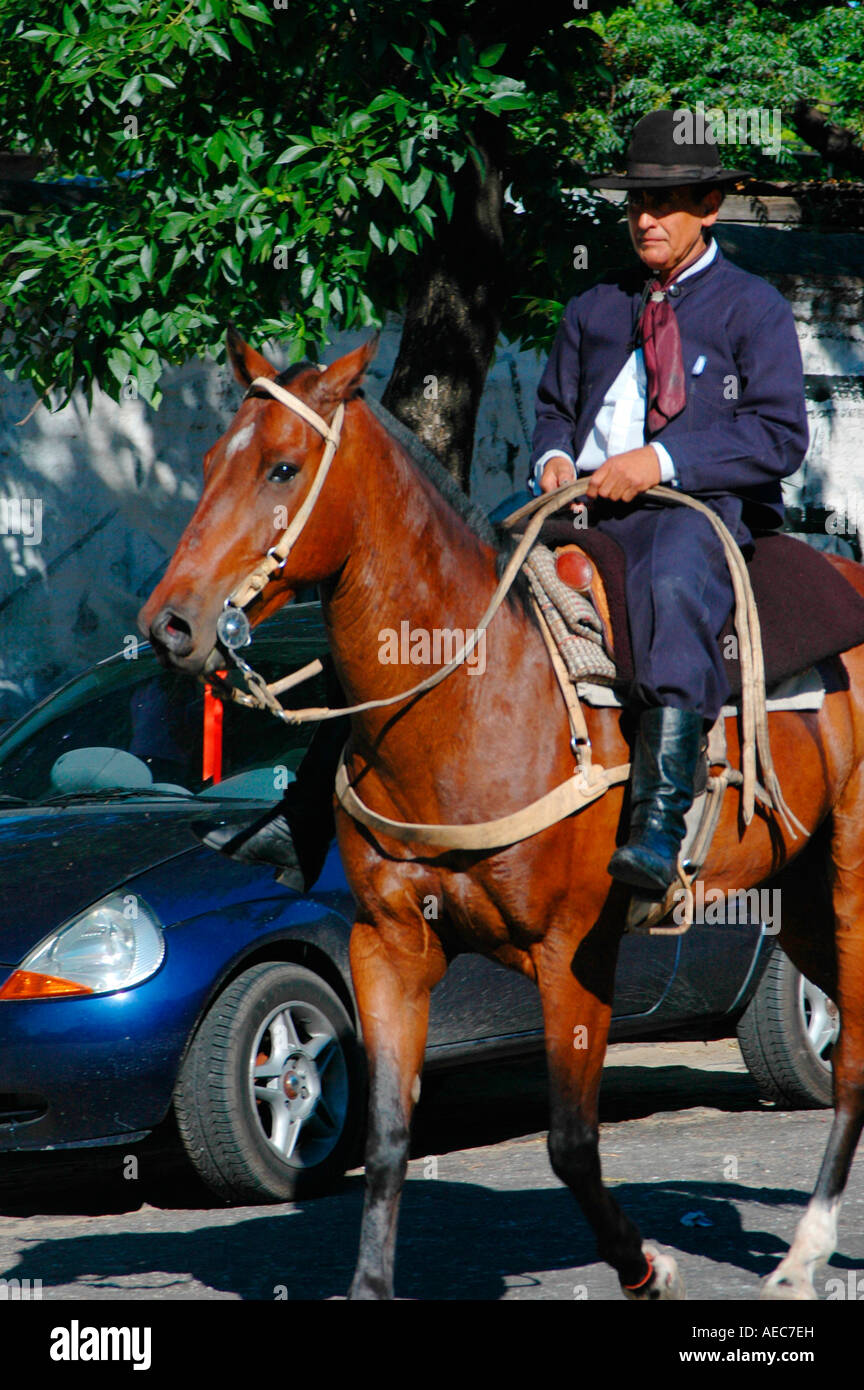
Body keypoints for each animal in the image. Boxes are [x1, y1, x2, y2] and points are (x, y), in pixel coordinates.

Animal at [139, 329, 864, 1301]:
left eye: (283, 467)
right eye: (213, 461)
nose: (171, 625)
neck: (467, 703)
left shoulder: (574, 954)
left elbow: (571, 1144)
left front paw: (649, 1269)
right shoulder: (389, 948)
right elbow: (387, 1138)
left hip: (851, 886)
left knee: (852, 1065)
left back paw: (804, 1254)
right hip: (802, 900)